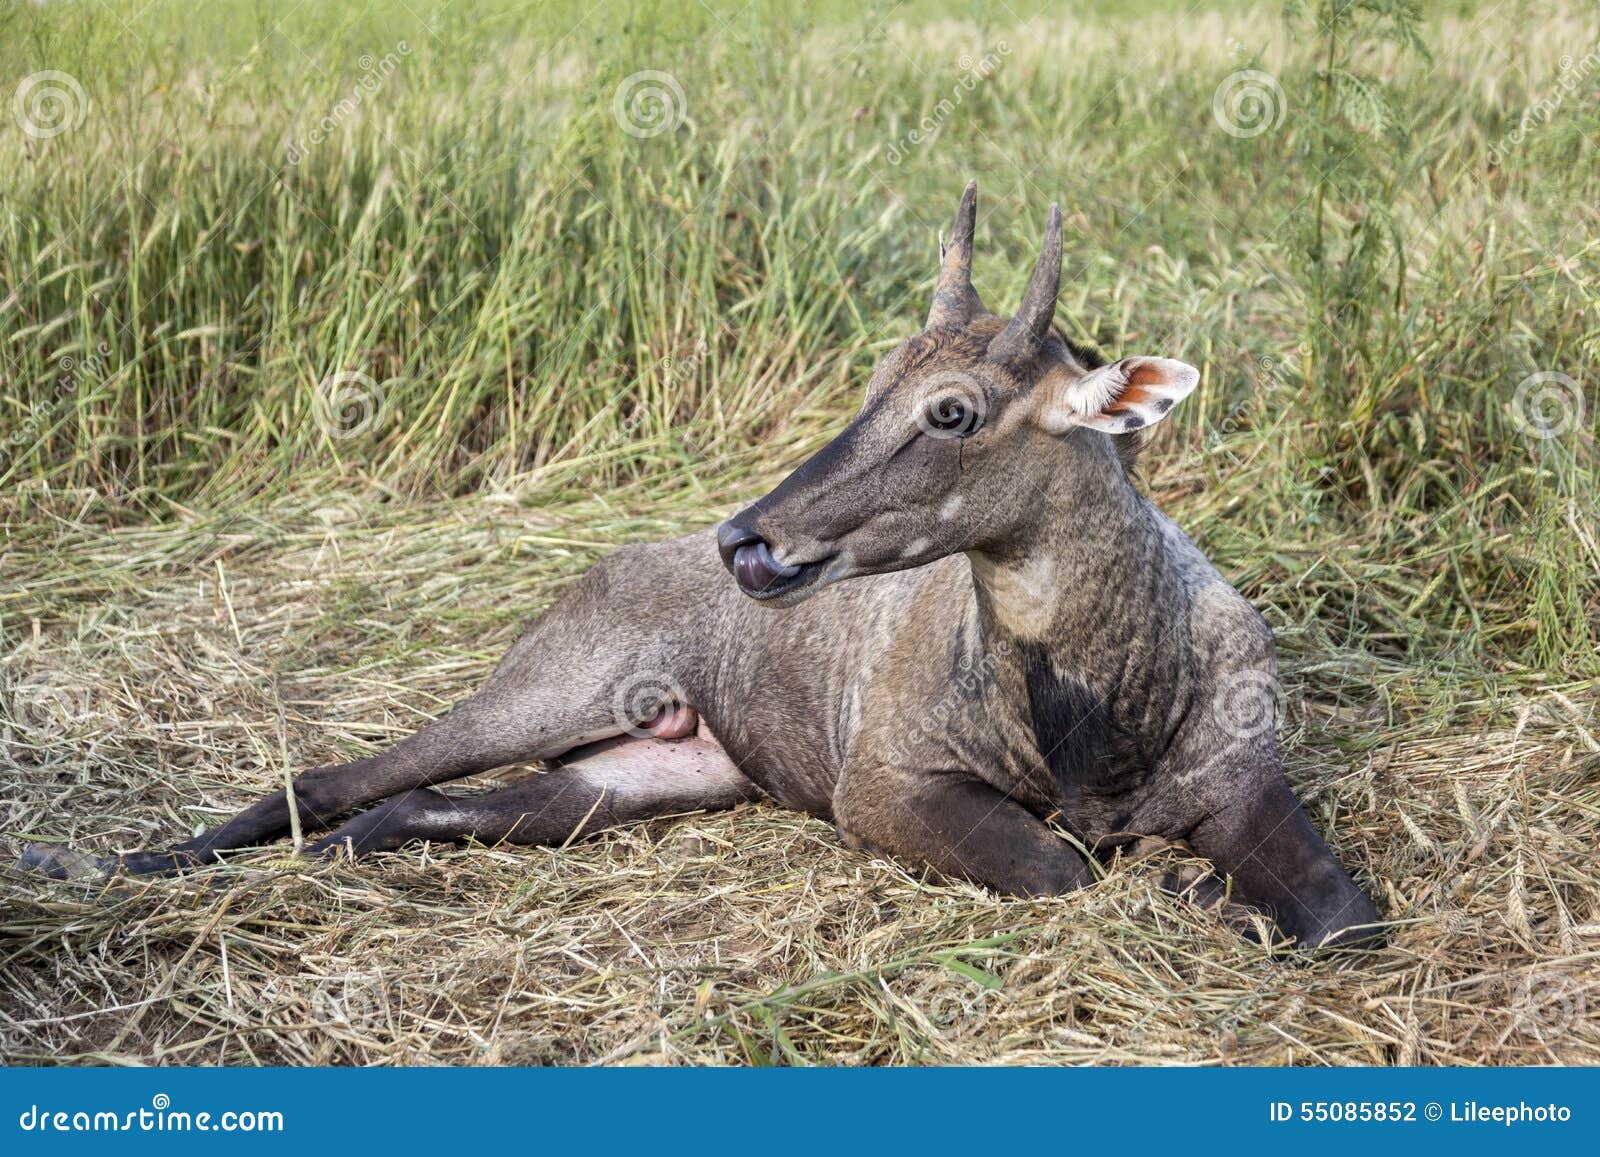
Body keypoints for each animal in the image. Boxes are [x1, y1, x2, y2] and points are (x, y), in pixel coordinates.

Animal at [20, 184, 1381, 950]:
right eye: (873, 377)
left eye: (951, 409)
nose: (749, 542)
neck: (1102, 707)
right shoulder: (884, 789)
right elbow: (1070, 869)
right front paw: (1191, 898)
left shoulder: (1242, 782)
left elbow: (1342, 915)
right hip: (546, 691)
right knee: (333, 773)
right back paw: (87, 865)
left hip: (642, 775)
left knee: (407, 809)